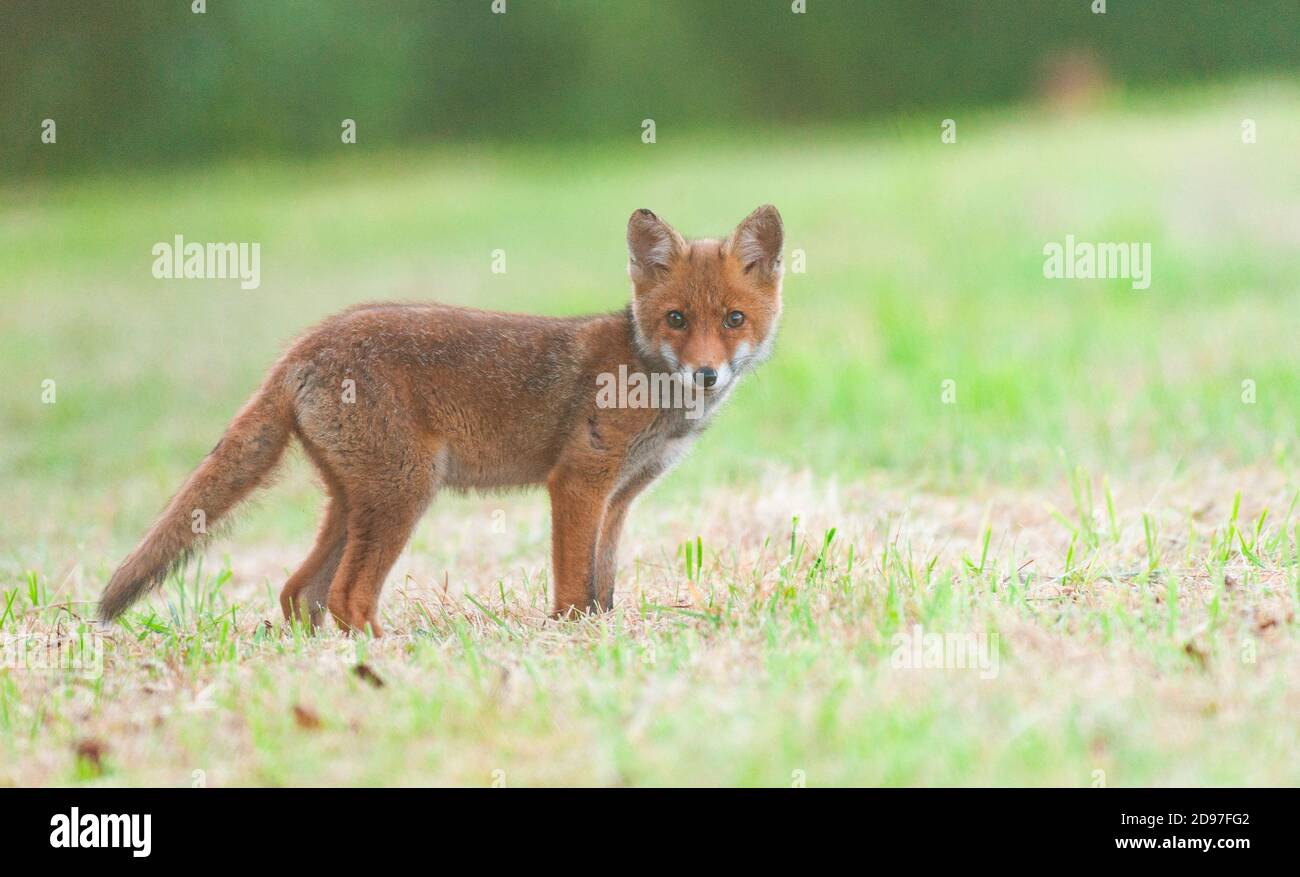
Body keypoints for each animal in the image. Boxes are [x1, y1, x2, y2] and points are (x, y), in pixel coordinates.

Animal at [97, 205, 784, 634]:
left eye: (733, 320)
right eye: (676, 320)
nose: (706, 375)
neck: (645, 375)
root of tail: (305, 345)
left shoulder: (618, 498)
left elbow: (603, 588)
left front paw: (602, 632)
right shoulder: (577, 481)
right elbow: (573, 588)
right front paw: (569, 640)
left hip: (356, 501)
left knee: (299, 592)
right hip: (405, 492)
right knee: (345, 598)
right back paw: (387, 656)